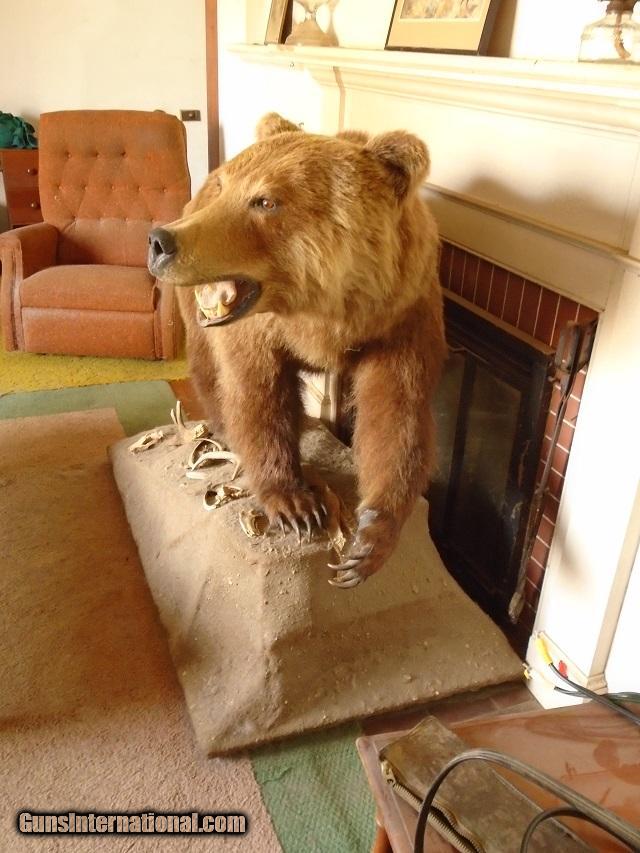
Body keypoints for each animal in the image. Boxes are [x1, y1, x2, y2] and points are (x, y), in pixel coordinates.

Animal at [148, 113, 446, 588]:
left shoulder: (401, 319)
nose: (161, 241)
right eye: (225, 185)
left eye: (265, 200)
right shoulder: (257, 333)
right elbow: (256, 396)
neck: (325, 314)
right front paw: (295, 505)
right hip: (195, 313)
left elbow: (396, 416)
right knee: (209, 370)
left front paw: (366, 545)